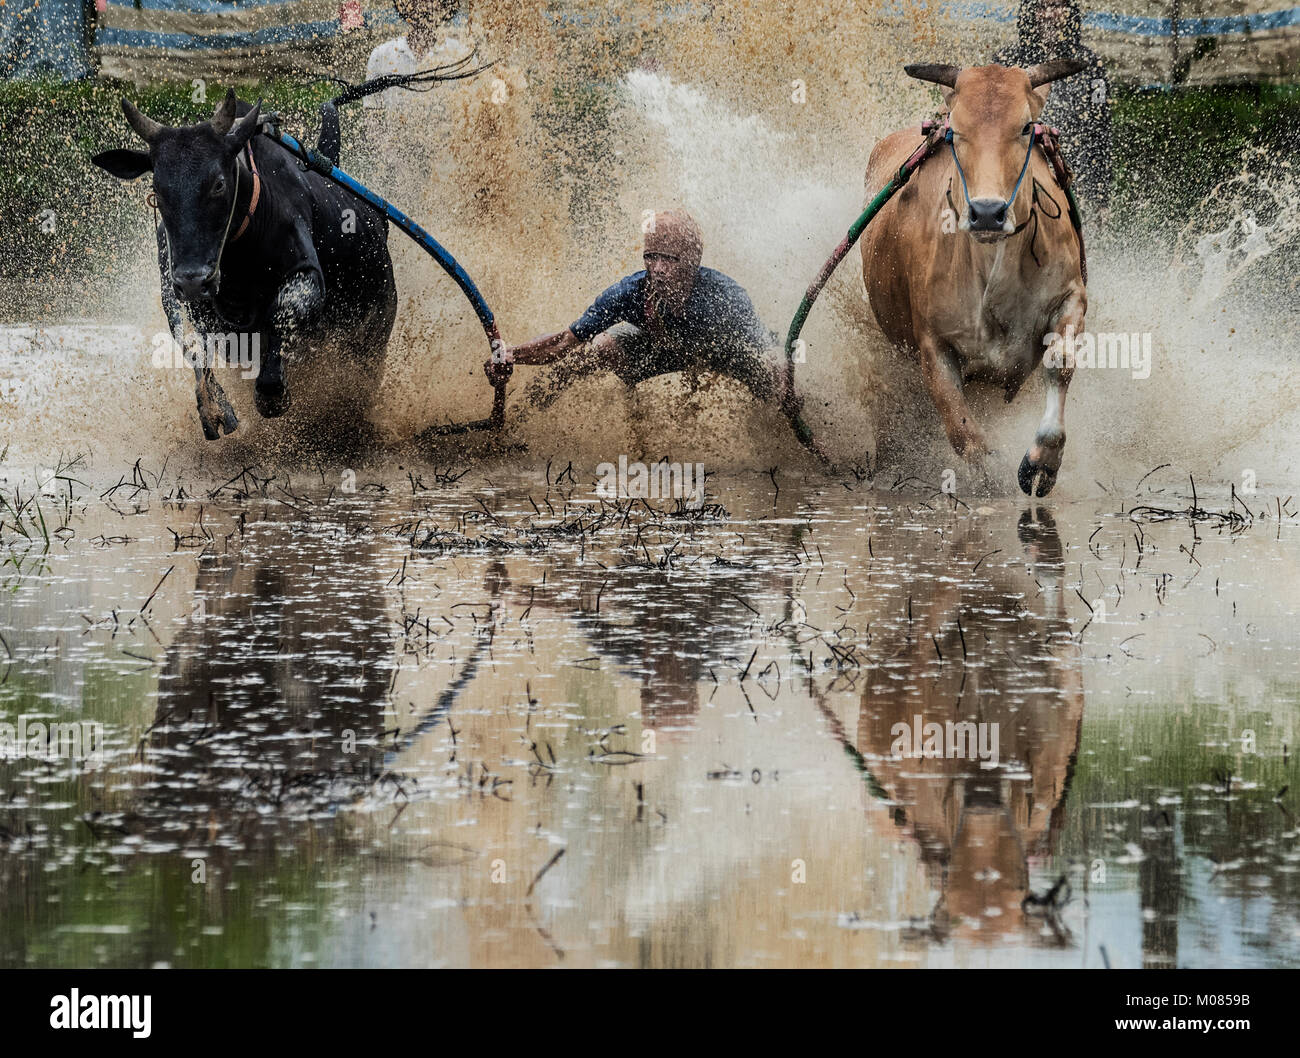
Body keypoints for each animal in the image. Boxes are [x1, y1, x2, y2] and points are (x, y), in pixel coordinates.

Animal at [91, 90, 397, 443]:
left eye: (219, 184)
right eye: (157, 188)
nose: (194, 279)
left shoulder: (306, 275)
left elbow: (282, 316)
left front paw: (274, 394)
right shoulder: (181, 295)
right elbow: (194, 347)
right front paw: (215, 408)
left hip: (375, 339)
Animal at [861, 61, 1087, 496]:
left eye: (1025, 127)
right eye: (957, 130)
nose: (986, 212)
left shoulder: (1070, 297)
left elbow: (1060, 363)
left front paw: (1042, 462)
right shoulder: (933, 344)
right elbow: (963, 432)